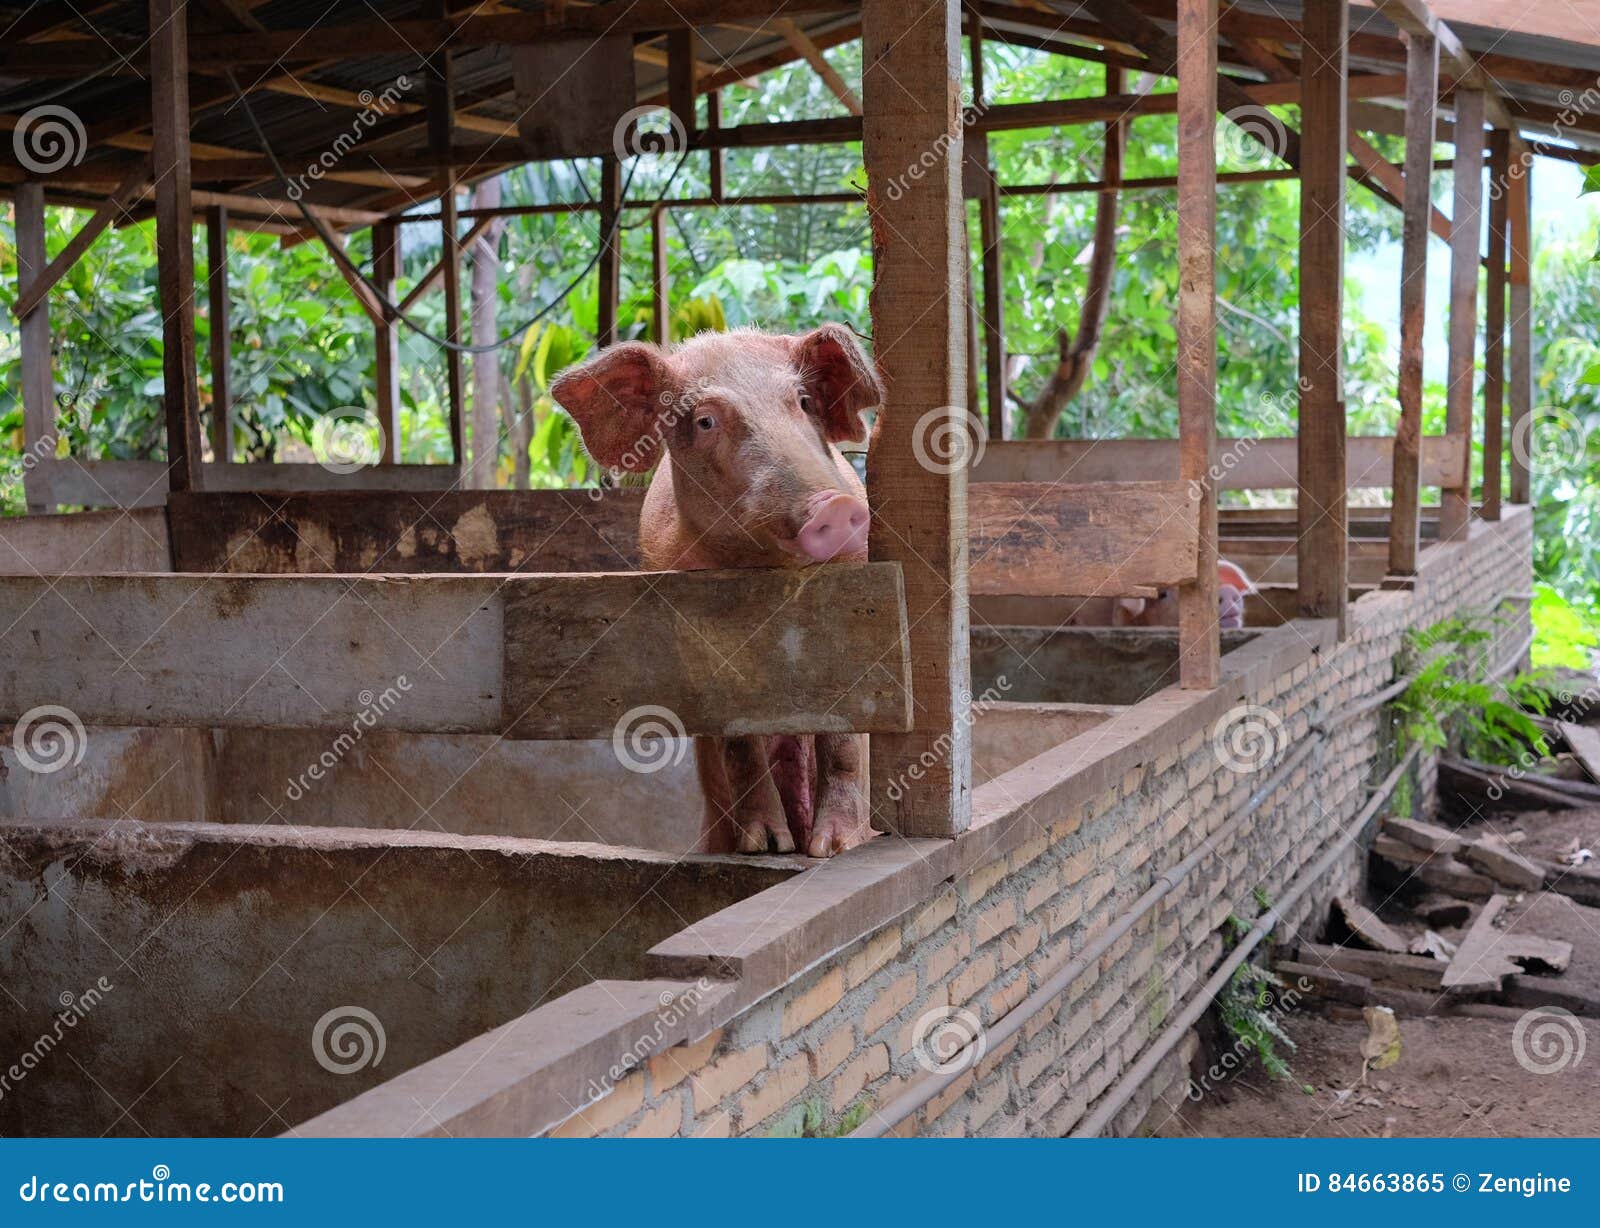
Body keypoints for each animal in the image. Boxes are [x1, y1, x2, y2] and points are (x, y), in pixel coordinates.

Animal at [552, 325, 881, 858]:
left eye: (803, 401)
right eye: (705, 420)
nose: (832, 506)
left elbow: (846, 736)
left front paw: (836, 849)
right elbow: (737, 738)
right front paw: (765, 847)